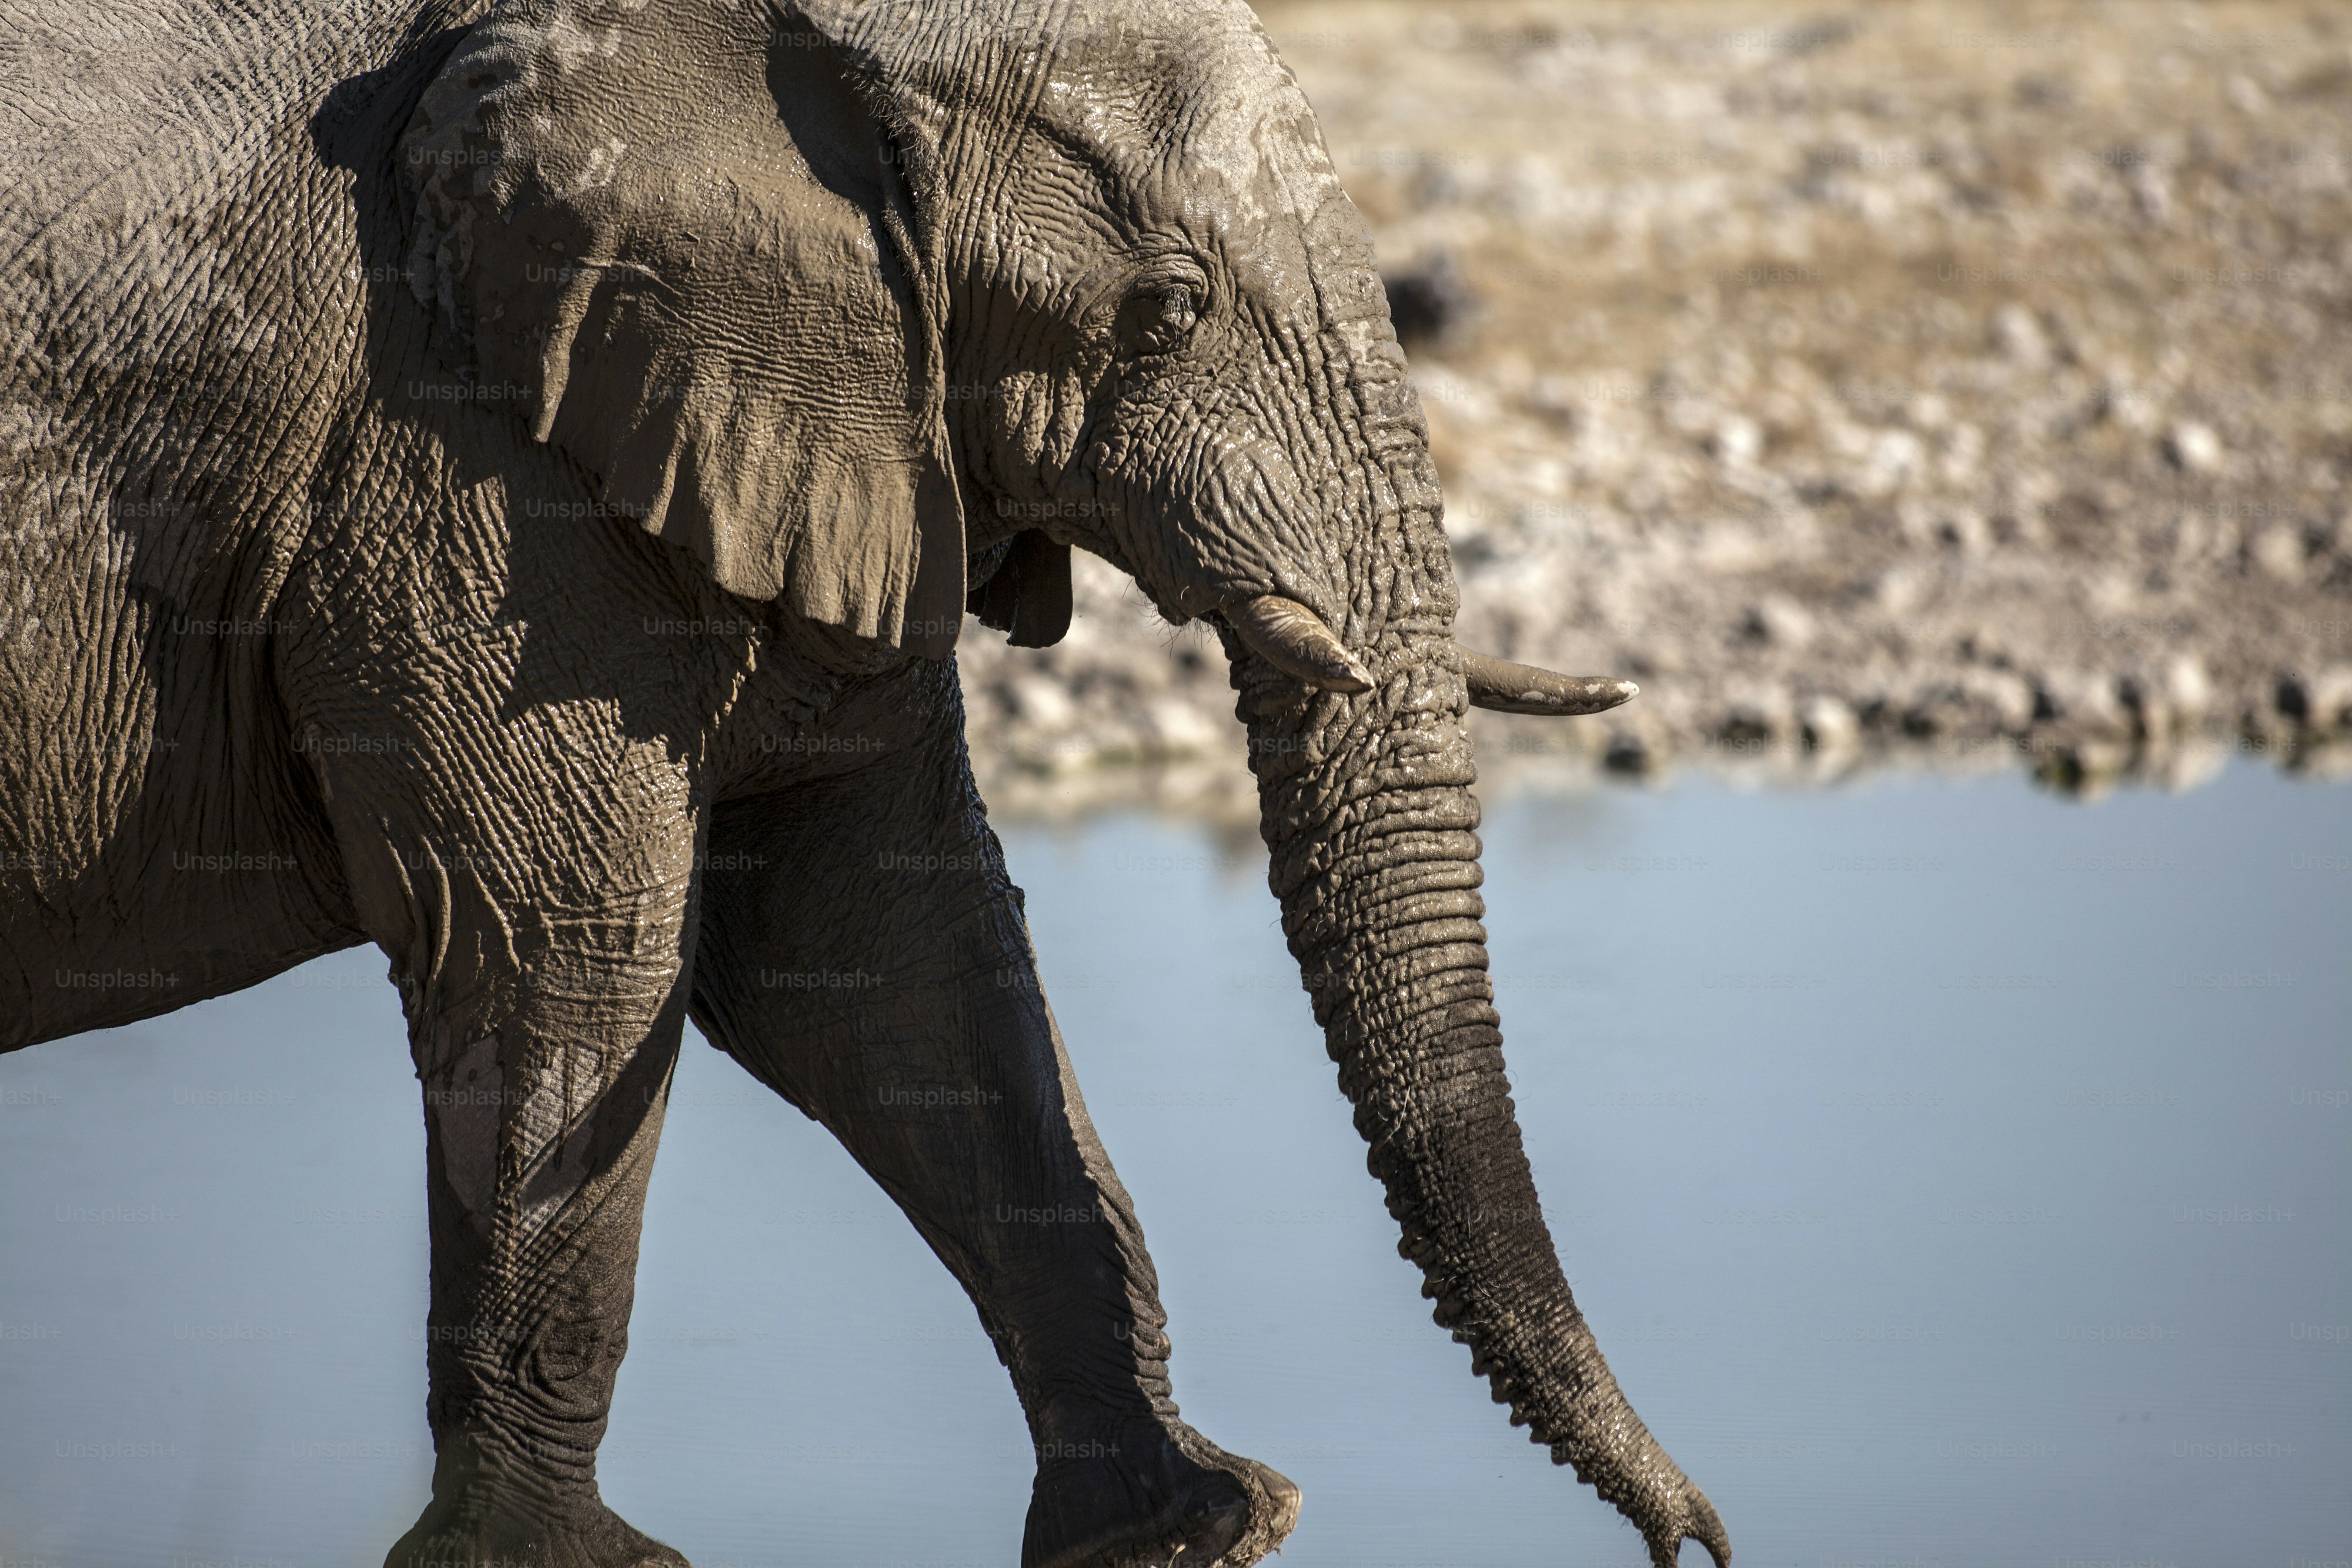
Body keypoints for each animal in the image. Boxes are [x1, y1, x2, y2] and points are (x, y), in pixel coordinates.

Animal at [0, 0, 1727, 1561]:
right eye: (1166, 307)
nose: (1698, 1541)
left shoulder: (835, 440)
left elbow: (892, 956)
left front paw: (1194, 1529)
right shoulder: (458, 467)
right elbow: (571, 952)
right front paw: (557, 1566)